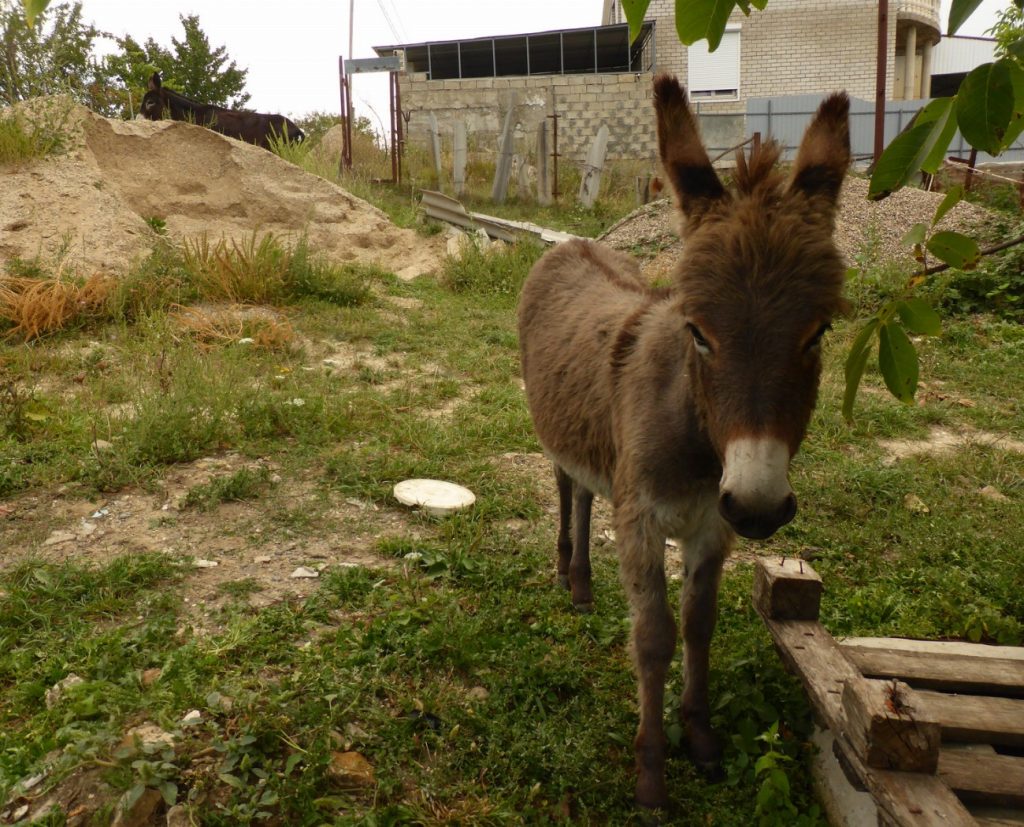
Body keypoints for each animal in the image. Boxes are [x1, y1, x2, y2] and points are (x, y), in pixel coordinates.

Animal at [517, 74, 850, 811]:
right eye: (698, 332)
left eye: (817, 334)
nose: (759, 504)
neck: (700, 448)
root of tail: (571, 242)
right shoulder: (643, 518)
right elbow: (654, 637)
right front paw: (650, 771)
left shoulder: (710, 525)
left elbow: (699, 625)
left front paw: (699, 738)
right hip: (554, 435)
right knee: (566, 488)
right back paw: (567, 572)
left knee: (588, 492)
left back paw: (584, 586)